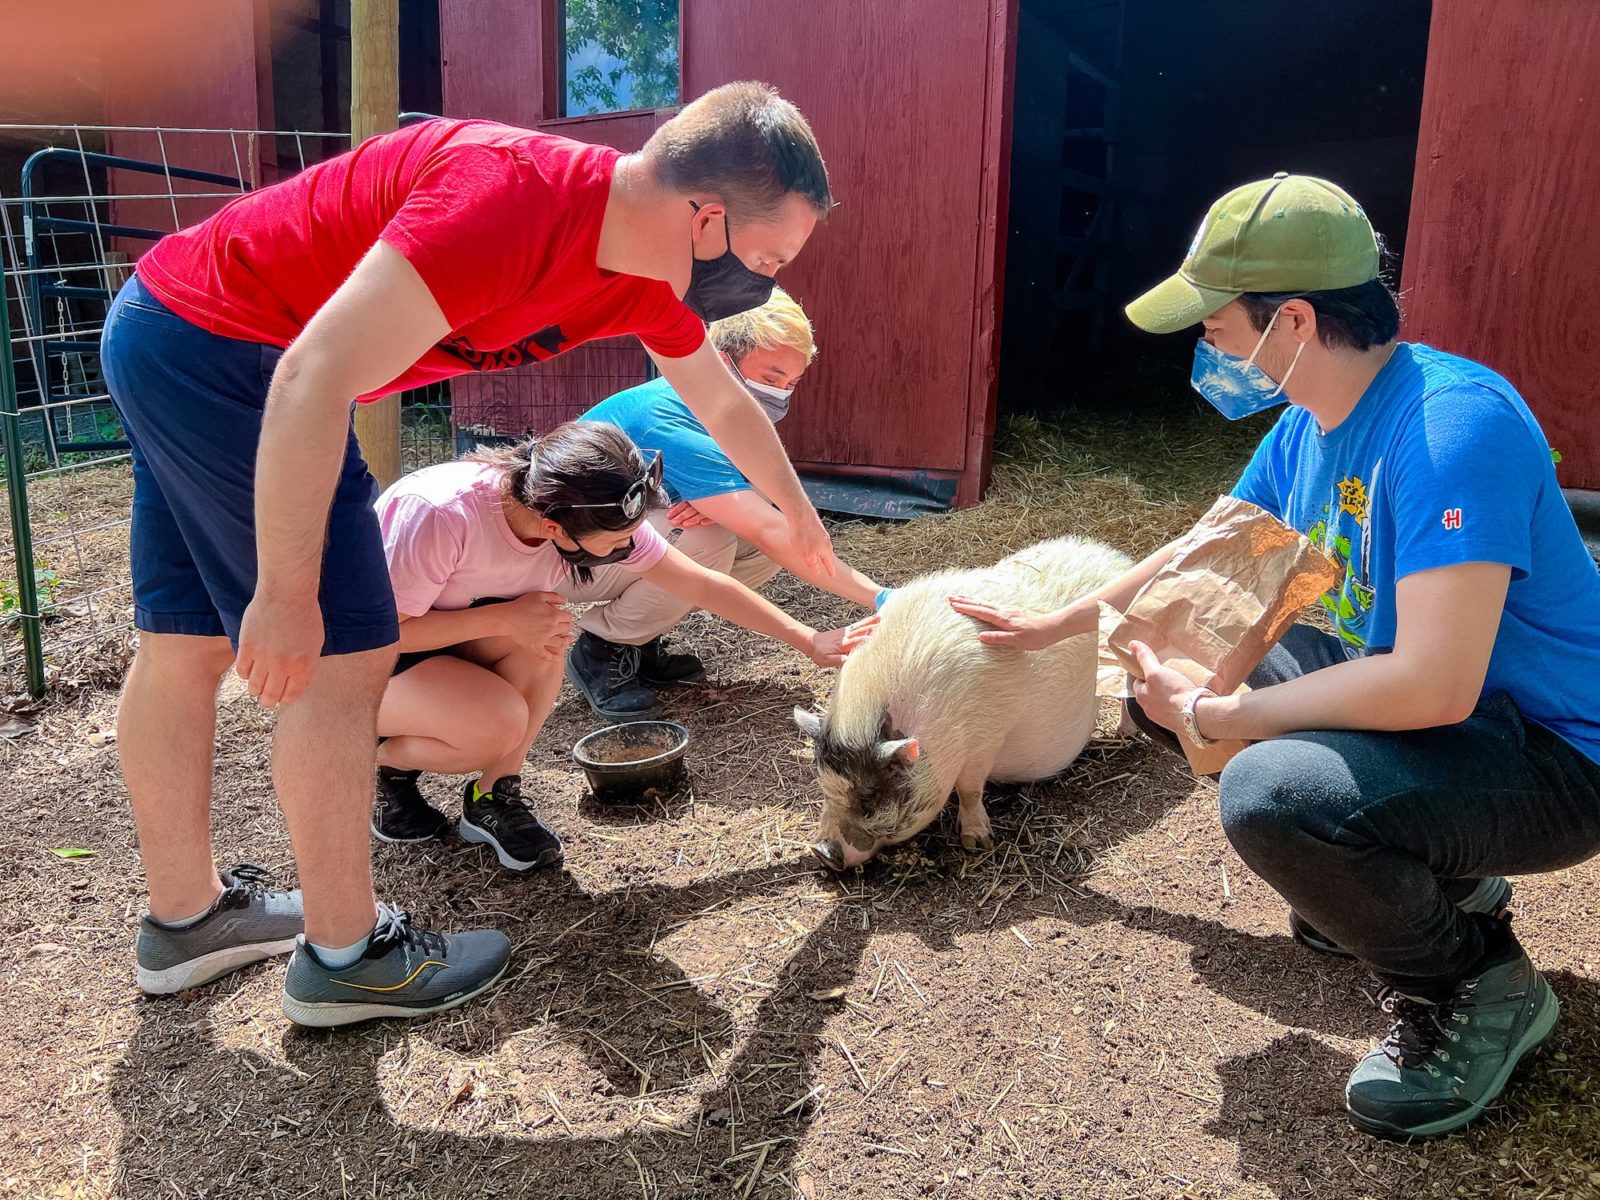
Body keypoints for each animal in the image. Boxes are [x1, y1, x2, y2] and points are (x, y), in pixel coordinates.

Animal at [794, 535, 1132, 870]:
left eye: (868, 797)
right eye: (824, 786)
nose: (821, 852)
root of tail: (1114, 554)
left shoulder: (986, 737)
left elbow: (969, 788)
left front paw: (977, 843)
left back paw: (1125, 735)